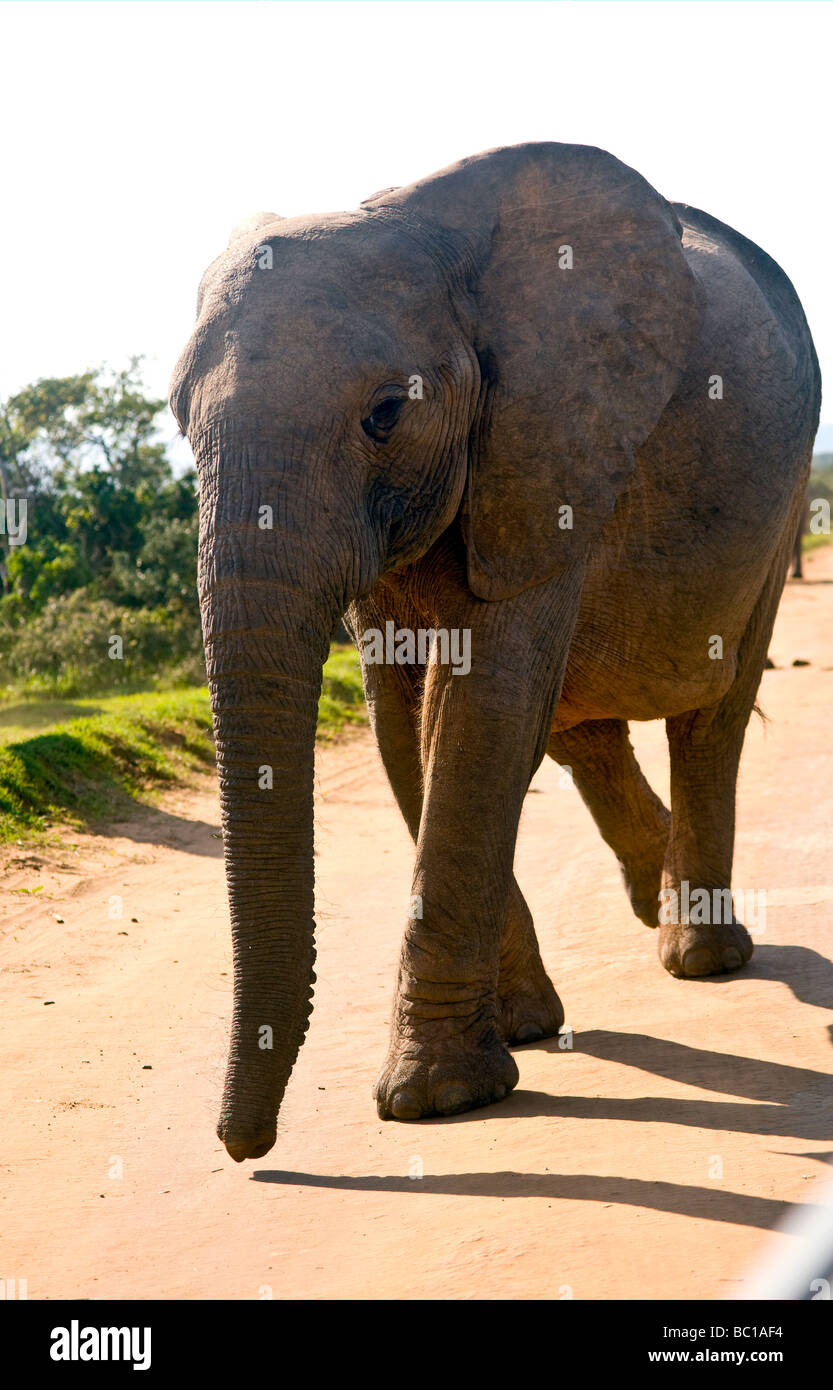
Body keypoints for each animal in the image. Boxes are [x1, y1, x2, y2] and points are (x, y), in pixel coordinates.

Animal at [169, 142, 820, 1162]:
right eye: (174, 417)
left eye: (385, 414)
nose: (246, 1151)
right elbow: (408, 728)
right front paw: (517, 1034)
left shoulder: (549, 451)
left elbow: (478, 713)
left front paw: (435, 1099)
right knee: (578, 725)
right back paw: (651, 900)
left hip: (781, 497)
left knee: (708, 716)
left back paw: (699, 955)